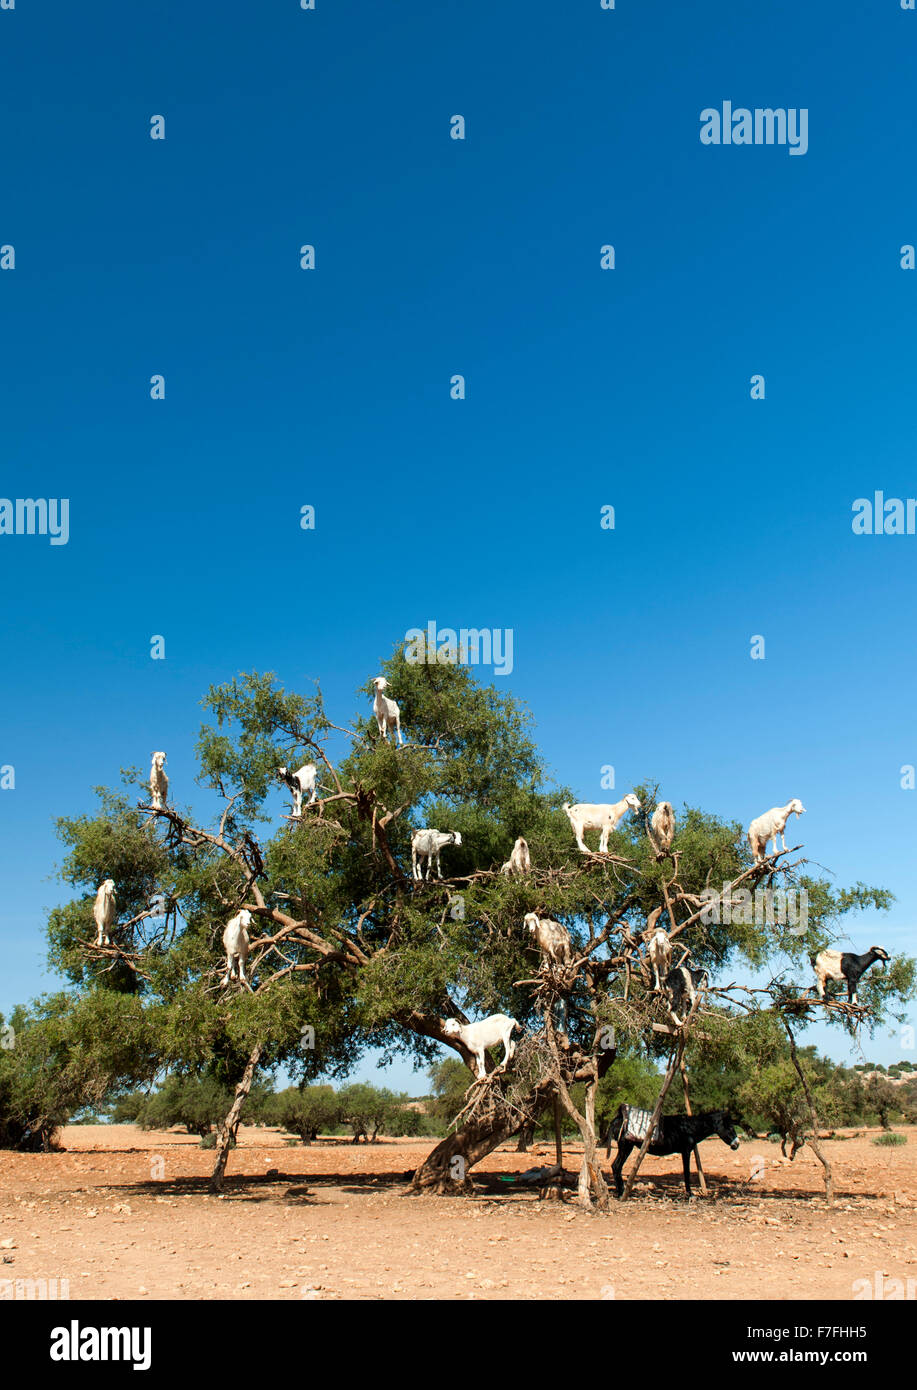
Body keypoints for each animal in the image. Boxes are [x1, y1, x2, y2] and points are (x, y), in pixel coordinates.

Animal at [604, 1104, 740, 1198]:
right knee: (616, 1166)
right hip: (626, 1146)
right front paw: (690, 1195)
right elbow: (686, 1173)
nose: (737, 1144)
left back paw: (621, 1192)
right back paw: (621, 1193)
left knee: (616, 1166)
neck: (690, 1127)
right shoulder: (686, 1151)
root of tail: (618, 1118)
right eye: (730, 1127)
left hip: (625, 1147)